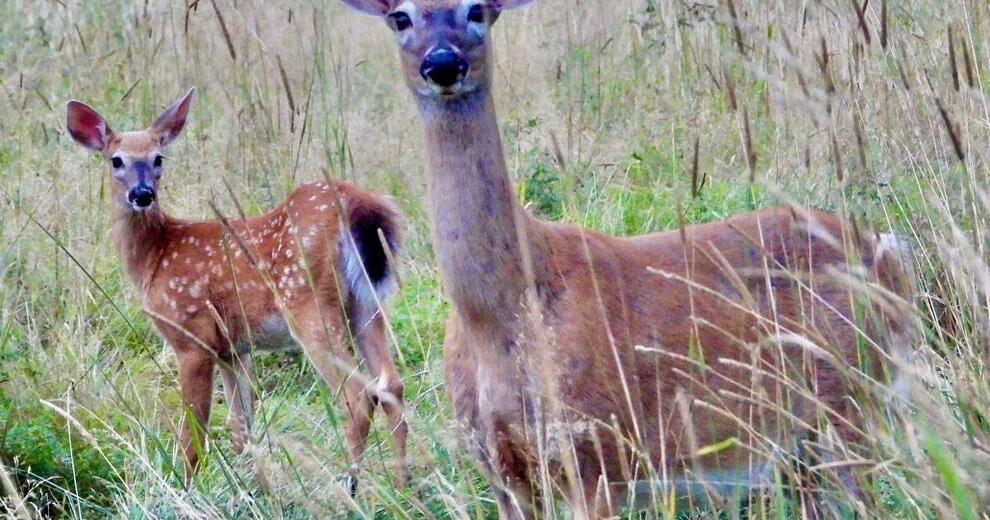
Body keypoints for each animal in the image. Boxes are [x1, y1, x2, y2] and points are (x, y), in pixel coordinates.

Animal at [65, 89, 409, 491]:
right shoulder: (233, 349)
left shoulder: (192, 336)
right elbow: (241, 427)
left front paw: (189, 489)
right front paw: (254, 489)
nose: (142, 193)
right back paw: (405, 486)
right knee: (391, 385)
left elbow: (194, 431)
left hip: (309, 302)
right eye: (116, 160)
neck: (156, 255)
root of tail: (361, 205)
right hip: (367, 303)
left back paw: (349, 486)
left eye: (157, 158)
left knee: (358, 395)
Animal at [340, 0, 911, 518]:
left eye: (477, 10)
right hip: (805, 447)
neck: (502, 315)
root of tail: (886, 250)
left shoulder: (598, 455)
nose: (442, 62)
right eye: (400, 16)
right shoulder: (503, 473)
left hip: (851, 408)